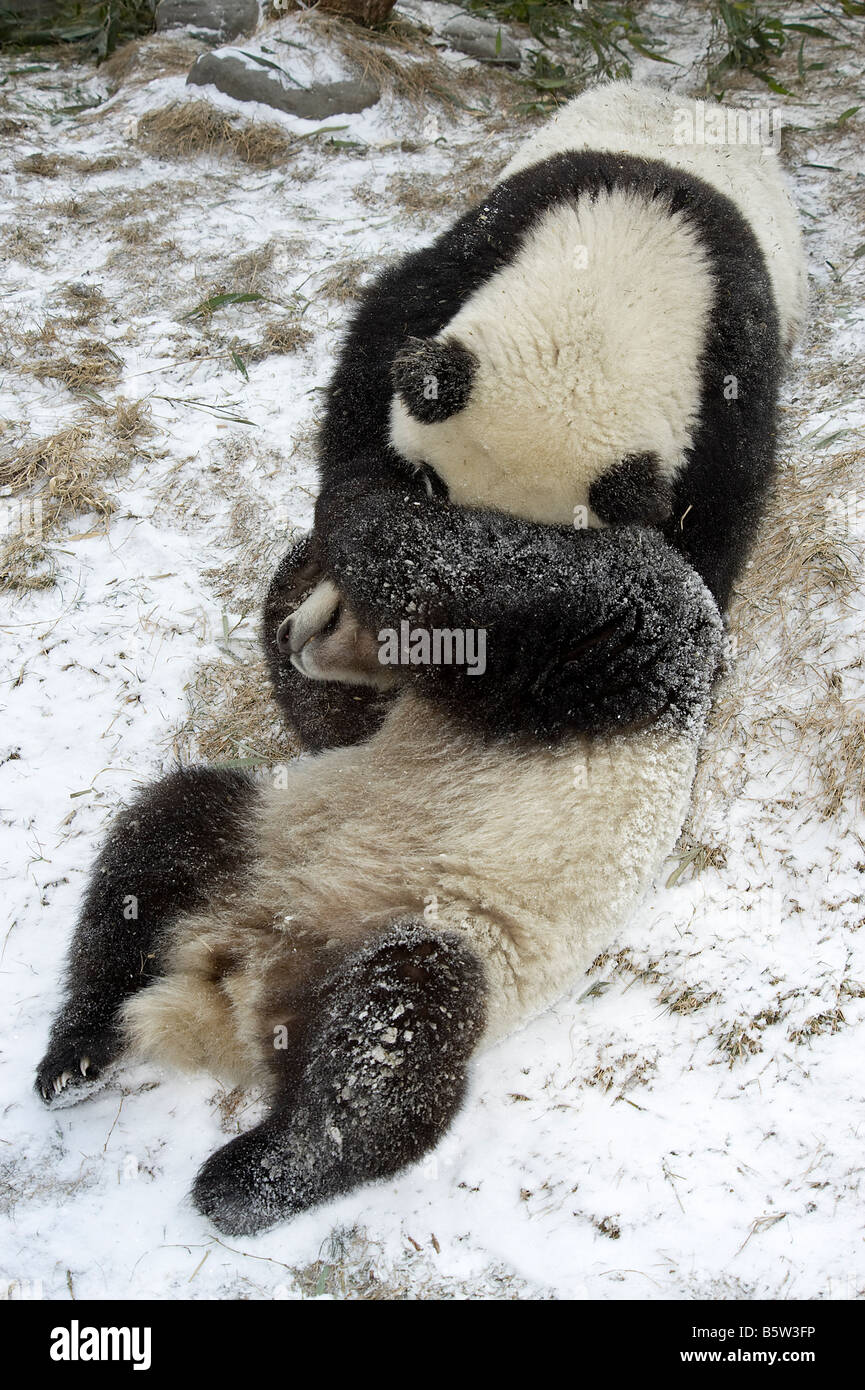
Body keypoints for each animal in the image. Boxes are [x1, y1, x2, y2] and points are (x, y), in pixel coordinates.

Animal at [35, 82, 803, 1236]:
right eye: (431, 478)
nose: (317, 631)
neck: (625, 261)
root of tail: (234, 990)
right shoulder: (487, 247)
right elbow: (377, 357)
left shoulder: (641, 589)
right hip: (260, 831)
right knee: (159, 845)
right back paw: (79, 1050)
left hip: (443, 930)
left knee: (397, 1028)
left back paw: (256, 1174)